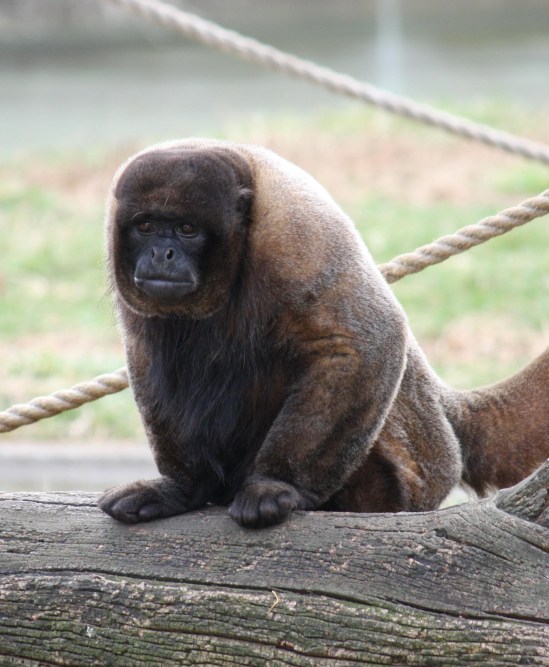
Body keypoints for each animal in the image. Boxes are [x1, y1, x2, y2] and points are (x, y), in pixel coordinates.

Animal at [98, 138, 549, 529]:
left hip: (407, 481)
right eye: (146, 225)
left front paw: (278, 483)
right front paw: (182, 488)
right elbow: (144, 357)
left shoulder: (297, 228)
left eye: (187, 229)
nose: (162, 254)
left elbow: (365, 342)